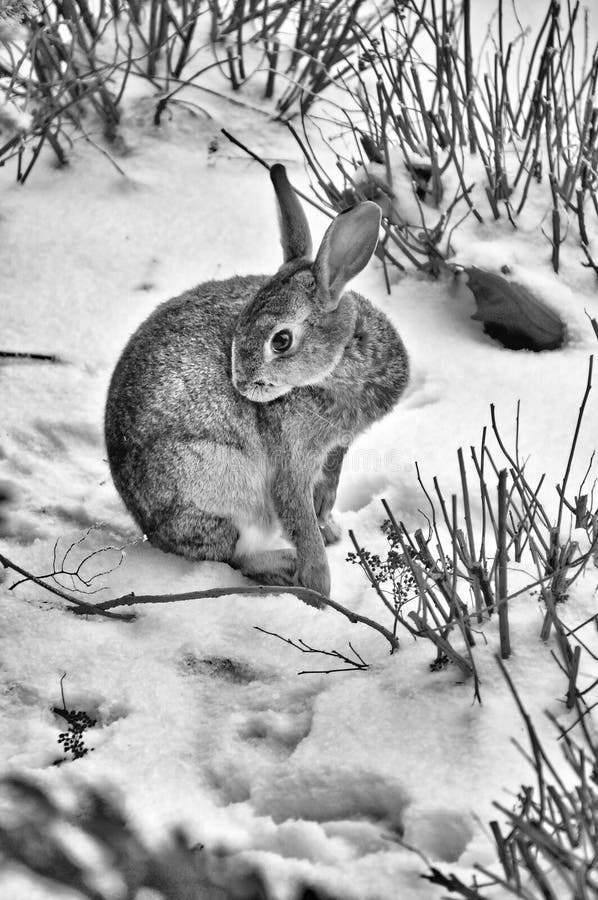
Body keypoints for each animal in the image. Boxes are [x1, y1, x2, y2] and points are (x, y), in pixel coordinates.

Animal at [105, 164, 409, 599]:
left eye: (280, 341)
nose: (242, 384)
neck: (342, 358)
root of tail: (151, 531)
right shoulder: (290, 457)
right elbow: (297, 514)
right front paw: (319, 588)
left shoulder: (337, 445)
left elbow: (327, 485)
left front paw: (326, 523)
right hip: (221, 485)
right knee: (234, 556)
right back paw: (285, 569)